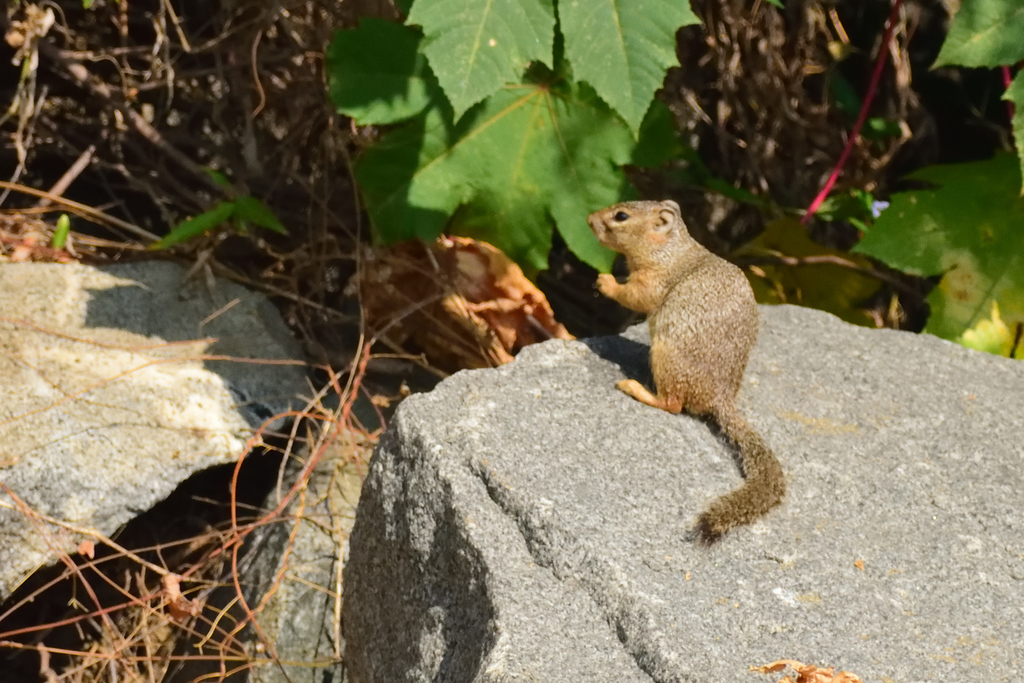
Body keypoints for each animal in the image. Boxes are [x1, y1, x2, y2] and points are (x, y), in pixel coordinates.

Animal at [587, 199, 785, 543]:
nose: (588, 219)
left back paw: (637, 389)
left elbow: (635, 297)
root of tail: (720, 398)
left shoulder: (653, 281)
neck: (671, 249)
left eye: (621, 216)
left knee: (673, 404)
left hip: (665, 356)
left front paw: (606, 282)